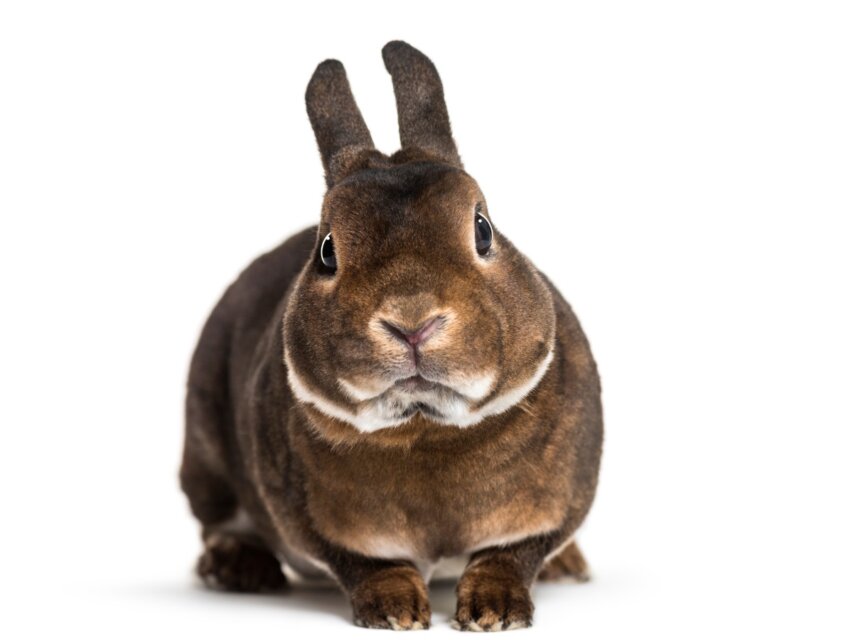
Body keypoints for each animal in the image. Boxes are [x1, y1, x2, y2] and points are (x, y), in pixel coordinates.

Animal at [180, 40, 603, 631]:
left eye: (483, 229)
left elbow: (509, 556)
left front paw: (494, 613)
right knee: (218, 522)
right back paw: (237, 570)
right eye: (327, 251)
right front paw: (396, 613)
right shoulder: (320, 529)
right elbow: (370, 566)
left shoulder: (557, 505)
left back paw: (569, 566)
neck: (426, 428)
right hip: (205, 457)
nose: (412, 321)